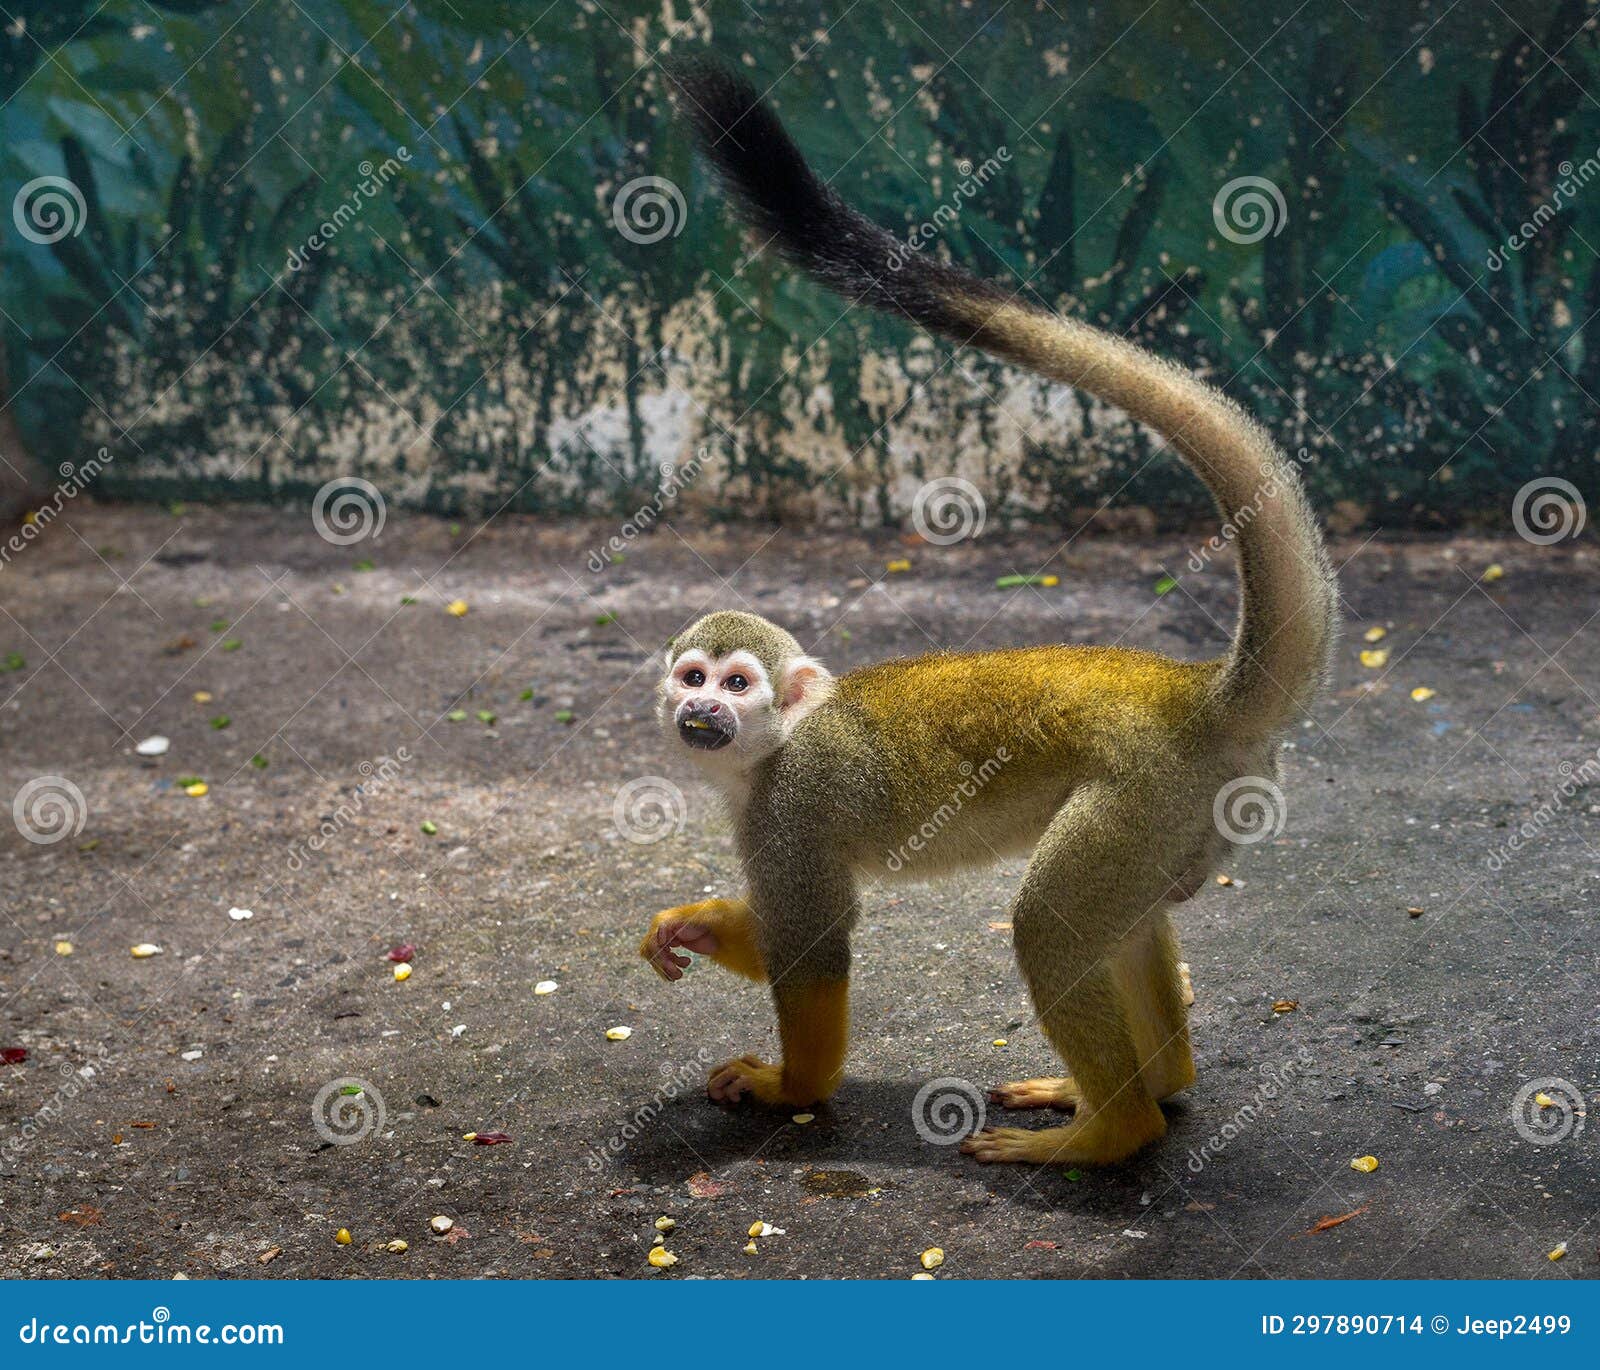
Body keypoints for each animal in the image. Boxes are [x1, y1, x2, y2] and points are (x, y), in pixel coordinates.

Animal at [636, 59, 1338, 1166]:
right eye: (691, 676)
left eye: (736, 683)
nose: (699, 710)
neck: (775, 745)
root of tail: (1196, 691)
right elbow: (778, 928)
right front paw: (694, 924)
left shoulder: (790, 804)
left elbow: (817, 944)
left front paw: (790, 1087)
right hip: (1187, 823)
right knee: (1123, 921)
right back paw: (1154, 1089)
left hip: (1141, 795)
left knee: (1048, 923)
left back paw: (1111, 1131)